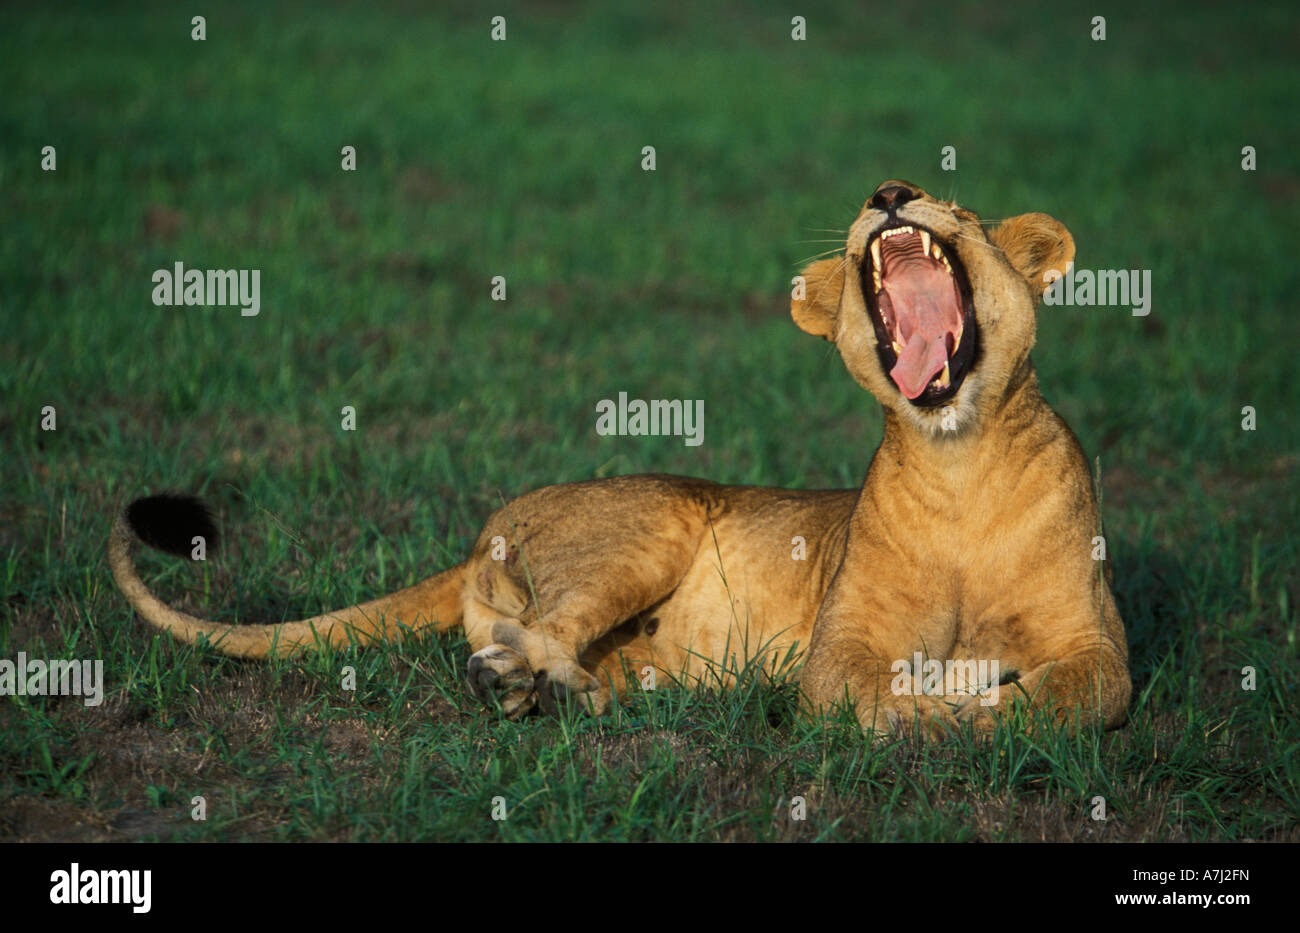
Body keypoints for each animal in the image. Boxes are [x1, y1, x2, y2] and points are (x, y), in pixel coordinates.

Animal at [109, 180, 1131, 738]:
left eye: (964, 211)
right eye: (876, 200)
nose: (888, 195)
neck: (959, 463)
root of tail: (484, 527)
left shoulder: (1098, 641)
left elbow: (1074, 694)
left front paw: (980, 708)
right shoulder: (843, 642)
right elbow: (860, 691)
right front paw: (934, 713)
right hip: (649, 526)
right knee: (533, 628)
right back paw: (531, 687)